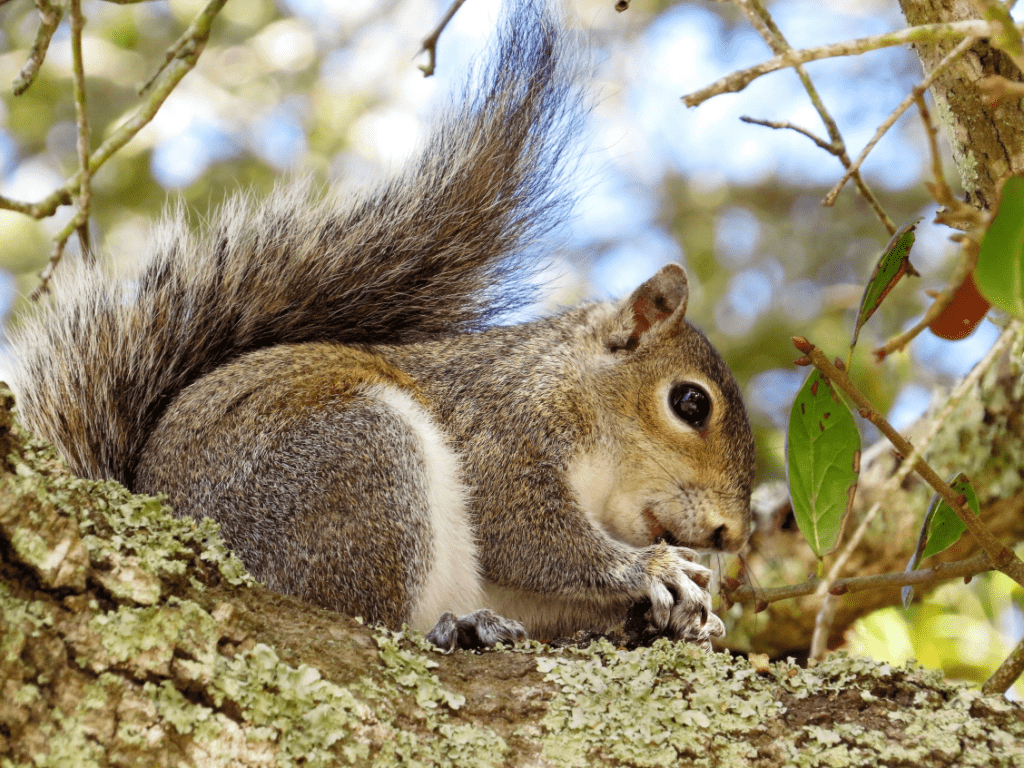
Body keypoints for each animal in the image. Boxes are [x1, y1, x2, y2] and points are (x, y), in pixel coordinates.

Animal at [10, 0, 756, 652]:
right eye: (690, 403)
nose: (730, 535)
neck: (579, 394)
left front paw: (679, 616)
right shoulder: (502, 429)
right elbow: (526, 536)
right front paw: (653, 568)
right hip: (357, 467)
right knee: (365, 613)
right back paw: (458, 627)